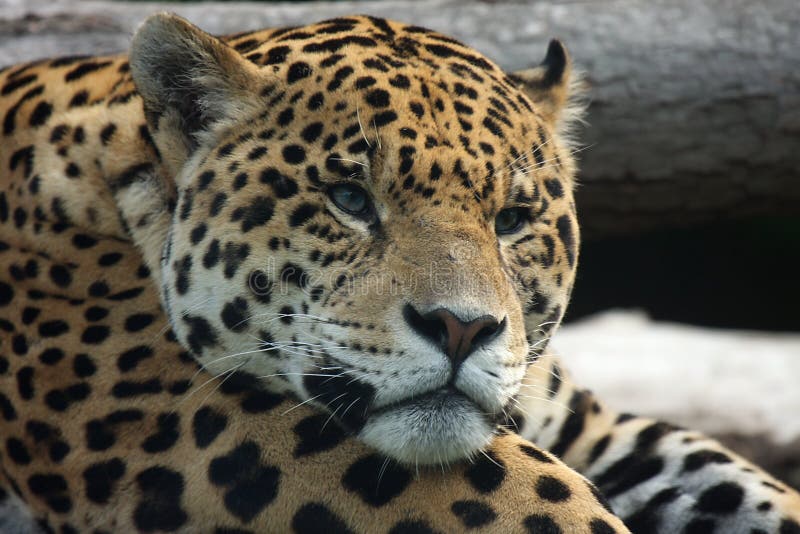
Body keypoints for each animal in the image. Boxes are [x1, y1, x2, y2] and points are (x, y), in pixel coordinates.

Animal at [0, 12, 798, 533]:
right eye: (350, 198)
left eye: (512, 218)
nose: (462, 329)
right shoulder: (225, 431)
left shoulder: (591, 426)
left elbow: (736, 484)